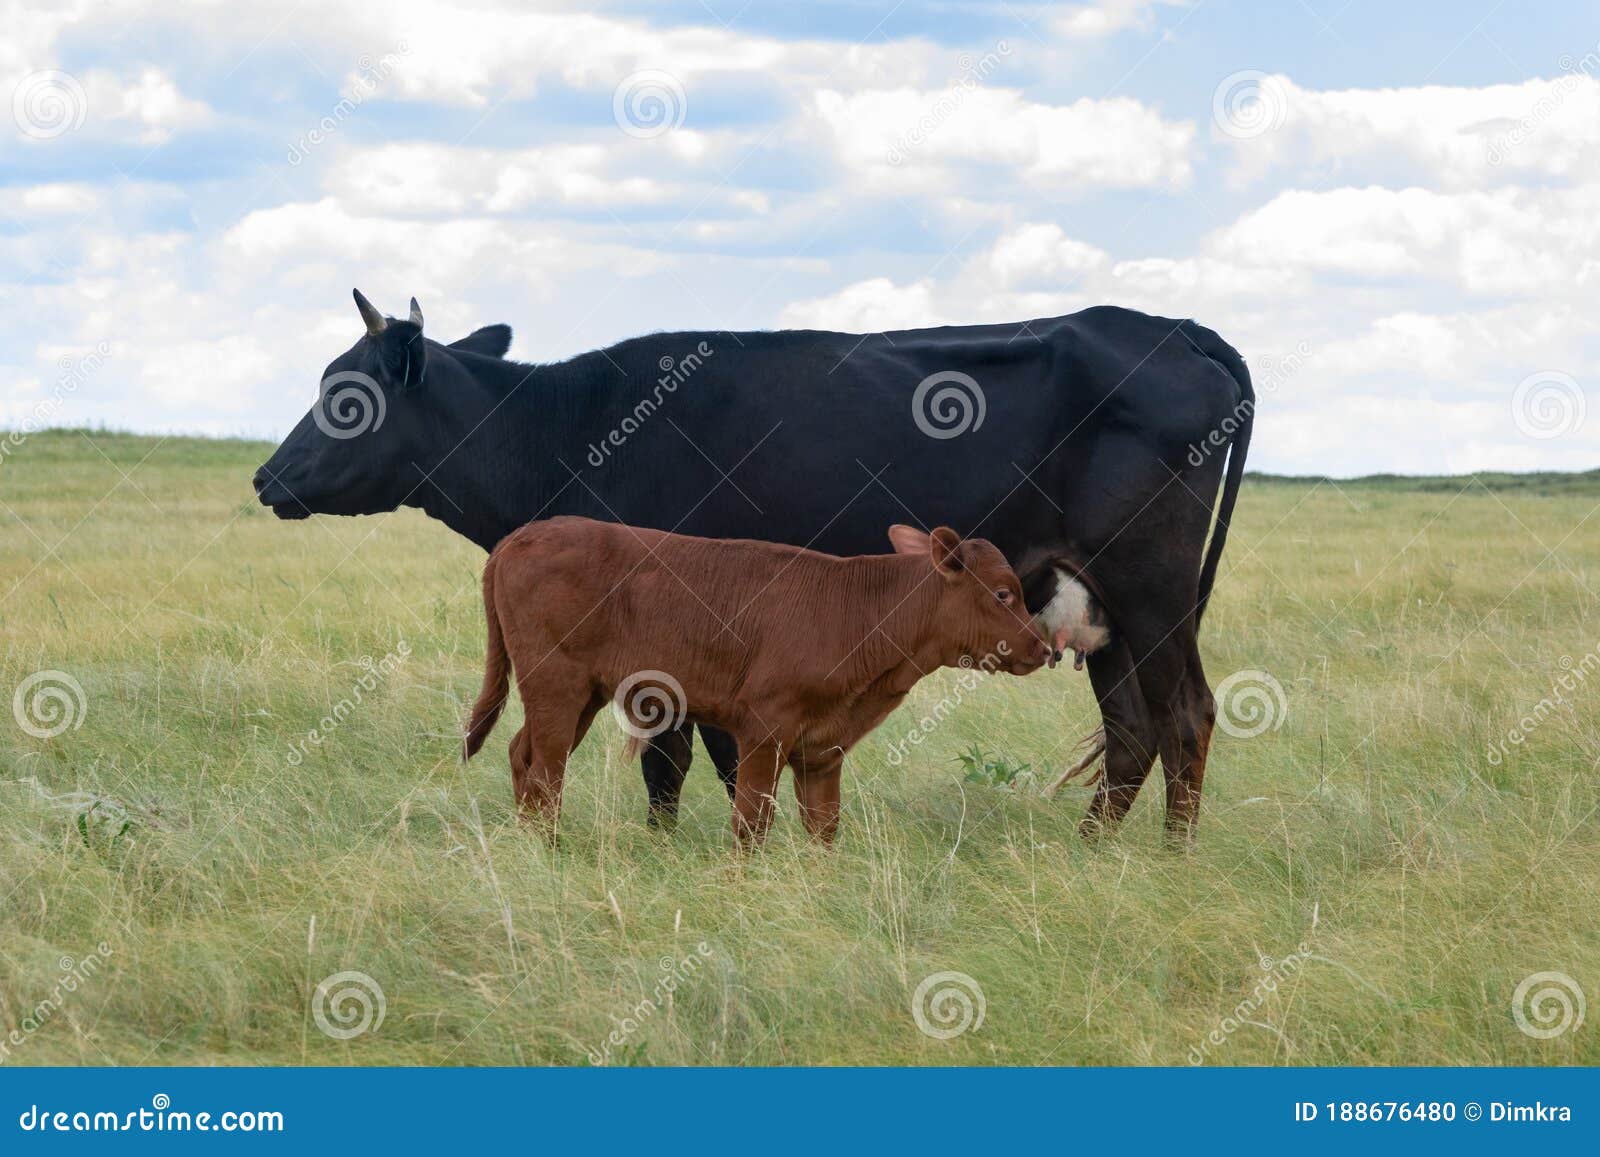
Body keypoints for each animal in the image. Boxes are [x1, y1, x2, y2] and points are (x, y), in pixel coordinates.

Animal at [462, 516, 1052, 844]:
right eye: (1003, 593)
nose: (1043, 648)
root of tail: (524, 535)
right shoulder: (765, 728)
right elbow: (751, 820)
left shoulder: (823, 750)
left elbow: (823, 825)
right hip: (555, 681)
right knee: (546, 769)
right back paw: (548, 848)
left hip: (584, 692)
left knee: (522, 754)